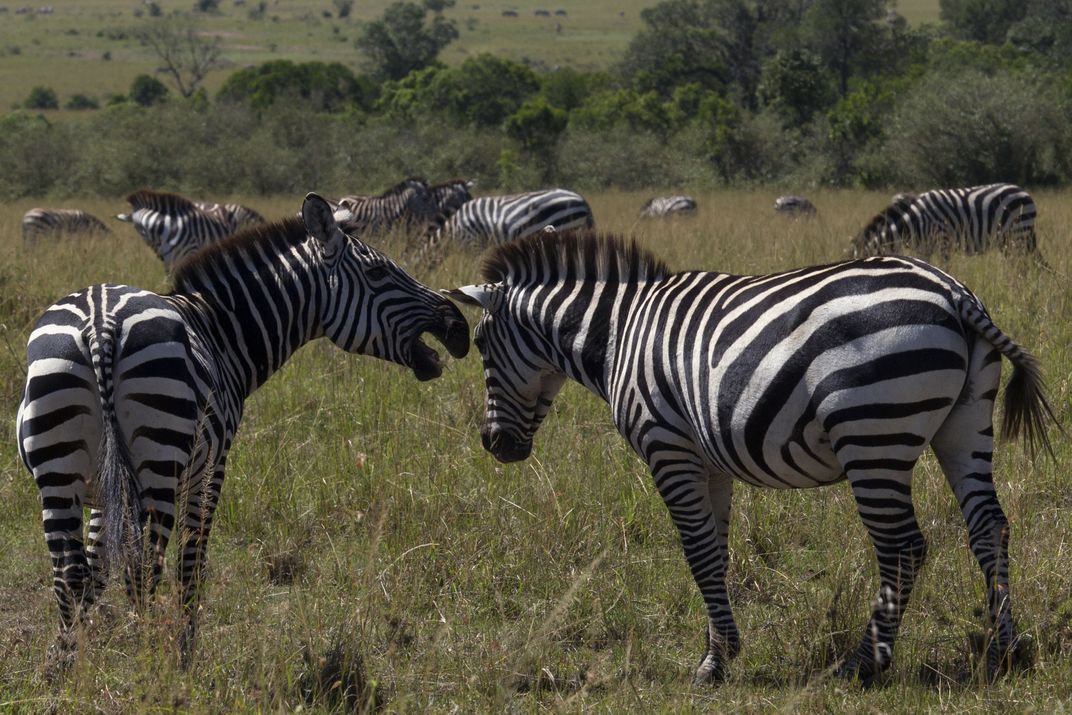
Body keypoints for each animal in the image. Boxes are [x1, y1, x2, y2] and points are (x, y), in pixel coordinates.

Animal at [16, 193, 469, 669]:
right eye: (379, 272)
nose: (459, 325)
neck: (221, 333)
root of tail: (100, 322)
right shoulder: (212, 467)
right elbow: (191, 563)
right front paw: (183, 655)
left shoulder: (105, 492)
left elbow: (98, 566)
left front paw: (77, 655)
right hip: (159, 467)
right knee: (143, 569)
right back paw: (151, 666)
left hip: (57, 467)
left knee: (69, 573)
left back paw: (67, 672)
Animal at [447, 231, 1056, 685]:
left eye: (479, 346)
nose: (494, 445)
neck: (619, 334)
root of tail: (953, 291)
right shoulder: (709, 460)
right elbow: (716, 553)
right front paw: (717, 649)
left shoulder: (667, 447)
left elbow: (696, 553)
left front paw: (713, 665)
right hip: (965, 422)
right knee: (989, 527)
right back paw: (1005, 651)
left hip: (873, 433)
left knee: (903, 548)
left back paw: (864, 665)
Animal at [850, 184, 1038, 259]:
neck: (914, 222)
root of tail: (1023, 192)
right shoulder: (924, 248)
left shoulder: (943, 241)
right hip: (1007, 241)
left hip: (1018, 234)